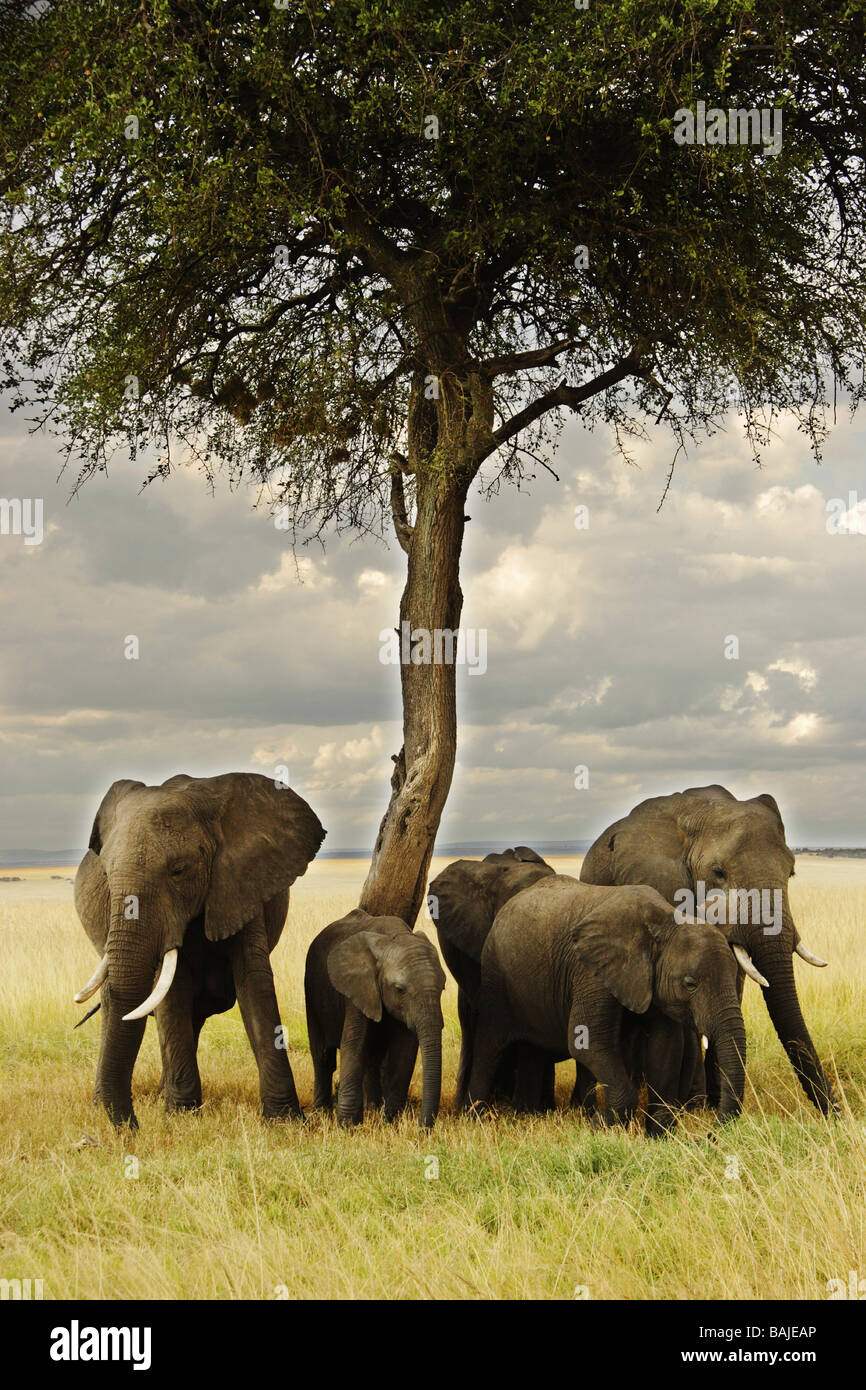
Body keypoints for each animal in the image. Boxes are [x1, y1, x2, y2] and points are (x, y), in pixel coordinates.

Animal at [73, 772, 325, 1128]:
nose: (132, 1127)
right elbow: (173, 989)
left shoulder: (240, 884)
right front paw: (181, 1116)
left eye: (178, 870)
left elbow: (254, 982)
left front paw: (285, 1122)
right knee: (115, 999)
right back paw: (107, 1105)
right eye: (106, 875)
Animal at [304, 908, 446, 1128]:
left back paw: (373, 1109)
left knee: (372, 1058)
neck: (392, 937)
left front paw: (390, 1121)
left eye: (443, 988)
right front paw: (347, 1127)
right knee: (323, 1056)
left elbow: (404, 1050)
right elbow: (354, 1043)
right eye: (399, 989)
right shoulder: (358, 988)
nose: (422, 1129)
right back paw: (322, 1114)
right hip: (311, 992)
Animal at [467, 876, 754, 1134]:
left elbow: (666, 1046)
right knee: (489, 1045)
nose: (709, 1133)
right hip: (494, 975)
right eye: (690, 983)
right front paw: (600, 1127)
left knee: (532, 1051)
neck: (665, 923)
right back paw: (476, 1121)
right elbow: (587, 1042)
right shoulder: (590, 970)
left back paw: (526, 1115)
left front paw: (659, 1136)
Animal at [580, 785, 834, 1114]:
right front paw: (694, 1106)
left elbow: (730, 983)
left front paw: (712, 1103)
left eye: (791, 873)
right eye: (718, 872)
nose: (836, 1111)